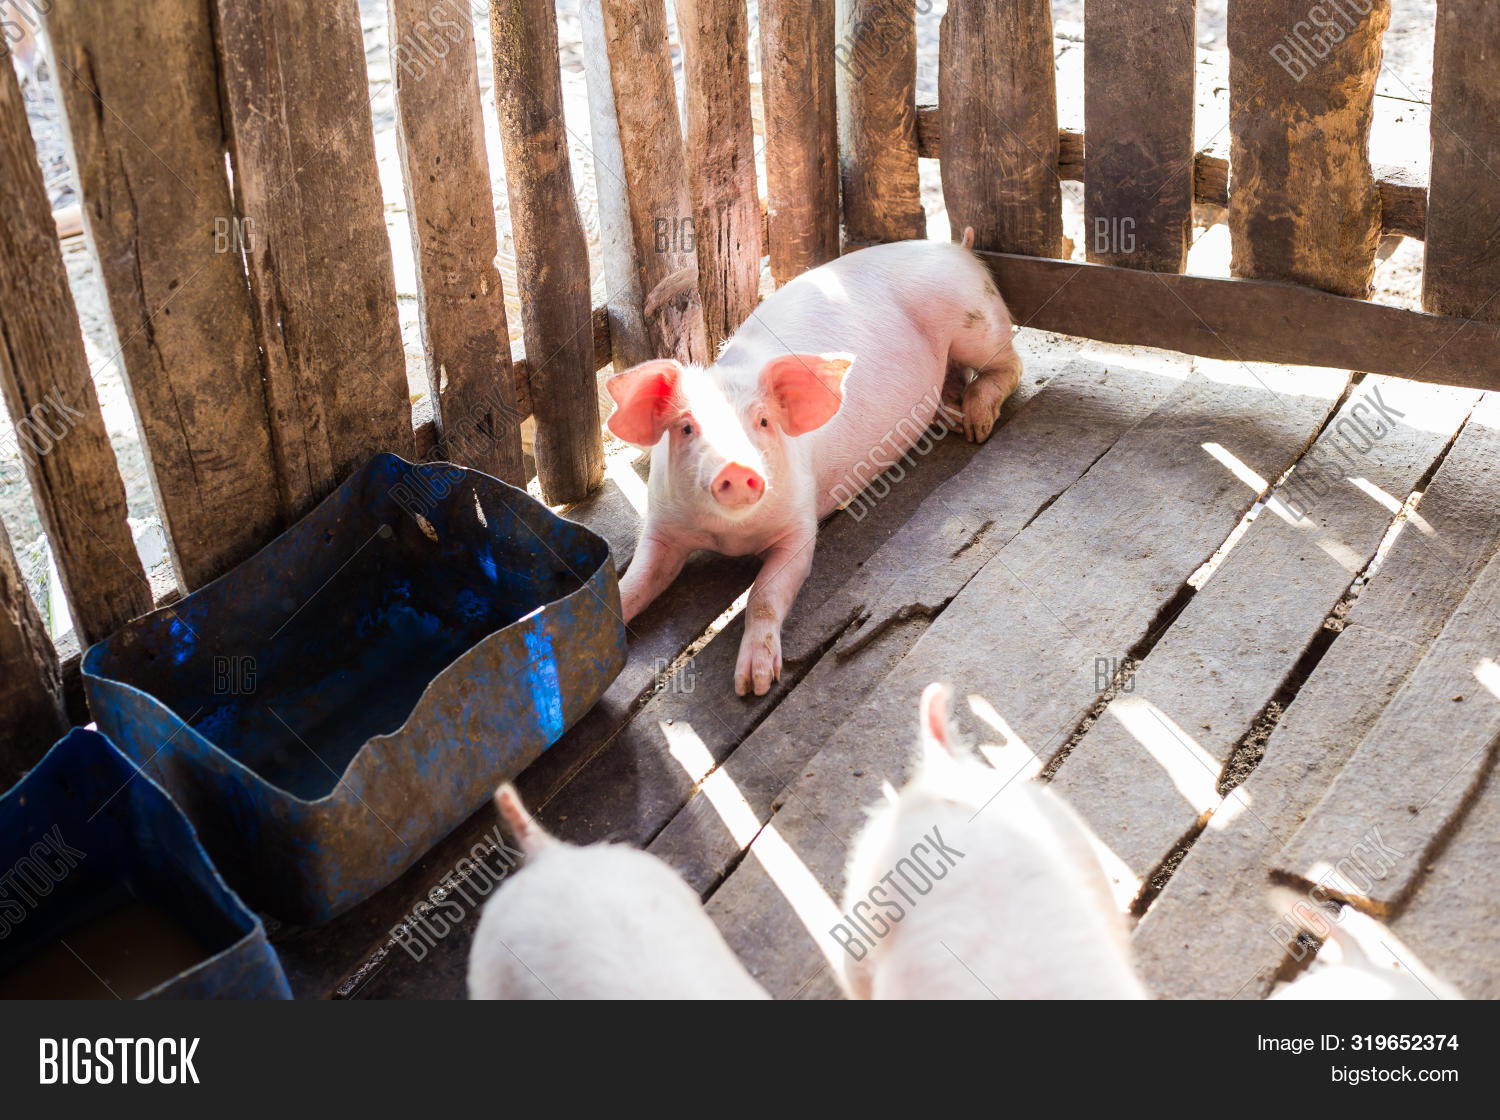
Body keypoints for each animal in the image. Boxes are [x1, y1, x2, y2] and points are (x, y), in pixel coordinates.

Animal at [606, 233, 1023, 696]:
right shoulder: (660, 523)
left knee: (1009, 364)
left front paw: (753, 685)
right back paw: (949, 417)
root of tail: (955, 247)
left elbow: (764, 595)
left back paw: (974, 424)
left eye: (763, 421)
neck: (728, 536)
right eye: (686, 427)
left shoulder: (800, 527)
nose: (735, 468)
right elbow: (631, 585)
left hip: (976, 320)